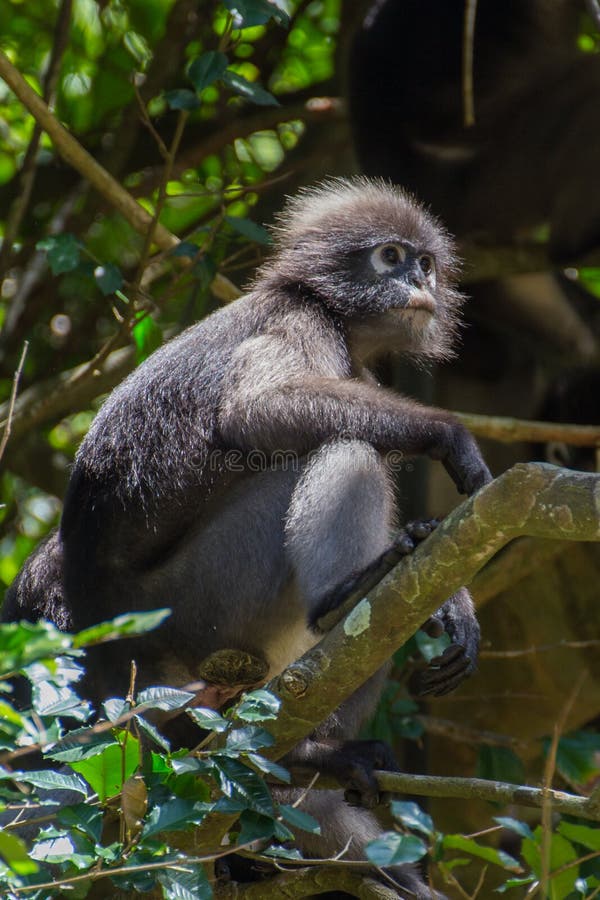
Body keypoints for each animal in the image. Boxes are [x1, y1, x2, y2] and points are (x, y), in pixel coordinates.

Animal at [4, 178, 491, 897]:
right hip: (198, 603)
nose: (419, 283)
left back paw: (314, 759)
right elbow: (254, 412)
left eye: (426, 263)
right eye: (391, 257)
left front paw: (453, 600)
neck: (335, 317)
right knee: (338, 448)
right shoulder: (300, 323)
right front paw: (451, 438)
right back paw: (349, 594)